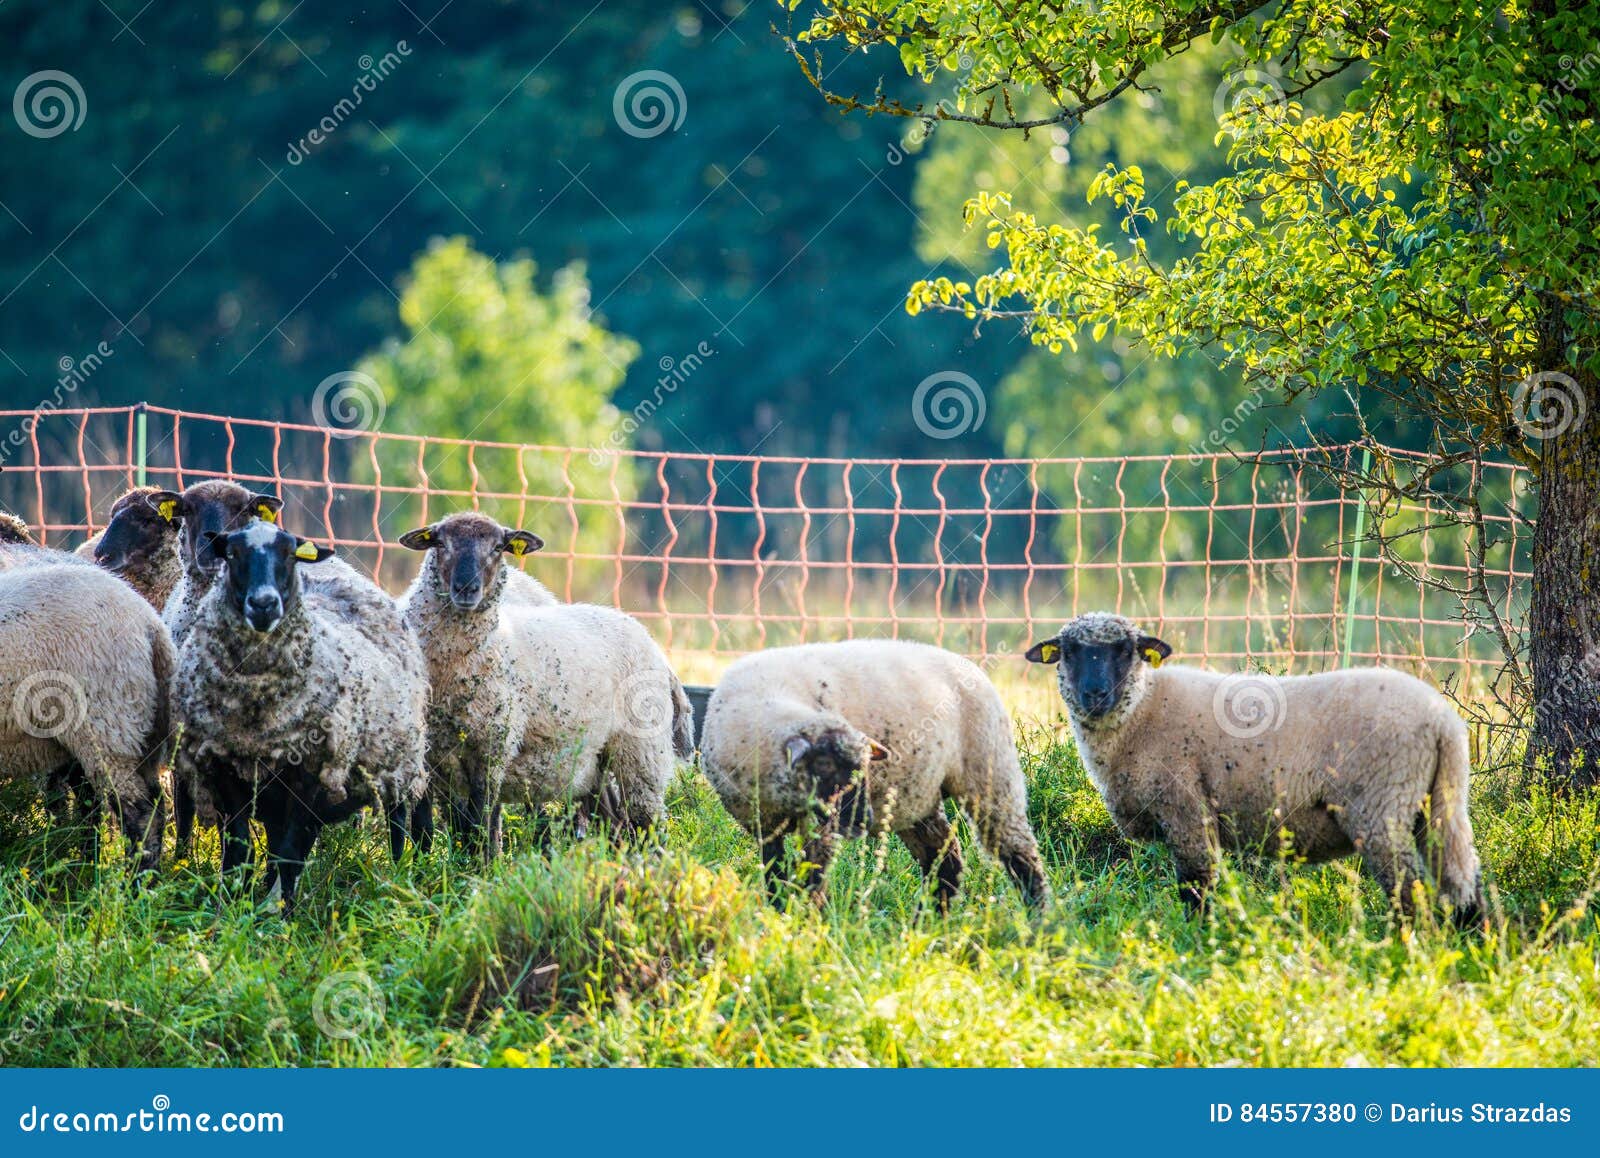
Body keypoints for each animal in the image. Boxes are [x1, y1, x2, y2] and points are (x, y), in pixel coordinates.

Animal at [0, 560, 173, 872]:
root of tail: (149, 622)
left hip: (107, 726)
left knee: (139, 812)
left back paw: (133, 878)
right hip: (139, 734)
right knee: (153, 804)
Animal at [172, 519, 427, 914]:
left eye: (290, 554)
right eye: (232, 554)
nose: (263, 604)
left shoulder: (309, 774)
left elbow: (291, 852)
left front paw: (283, 916)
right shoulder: (226, 767)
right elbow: (242, 850)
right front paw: (233, 906)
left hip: (397, 760)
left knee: (397, 823)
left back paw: (399, 877)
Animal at [398, 512, 691, 856]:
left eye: (497, 547)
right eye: (441, 543)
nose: (466, 588)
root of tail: (653, 646)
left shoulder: (493, 747)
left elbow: (482, 821)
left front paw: (483, 864)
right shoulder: (428, 754)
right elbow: (428, 826)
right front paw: (424, 864)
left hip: (641, 752)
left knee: (647, 823)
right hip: (596, 758)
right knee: (615, 822)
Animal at [699, 639, 1050, 911]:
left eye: (863, 769)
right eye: (824, 766)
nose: (862, 820)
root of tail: (969, 665)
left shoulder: (821, 826)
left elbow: (813, 877)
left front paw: (809, 924)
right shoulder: (763, 823)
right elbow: (774, 874)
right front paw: (780, 912)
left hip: (991, 775)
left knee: (1021, 855)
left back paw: (1039, 922)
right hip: (916, 796)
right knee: (944, 857)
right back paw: (928, 923)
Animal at [1025, 612, 1483, 922]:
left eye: (1125, 651)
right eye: (1068, 653)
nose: (1095, 694)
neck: (1142, 711)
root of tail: (1444, 722)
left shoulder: (1186, 809)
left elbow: (1197, 888)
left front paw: (1199, 940)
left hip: (1381, 807)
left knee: (1410, 891)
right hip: (1435, 804)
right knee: (1464, 882)